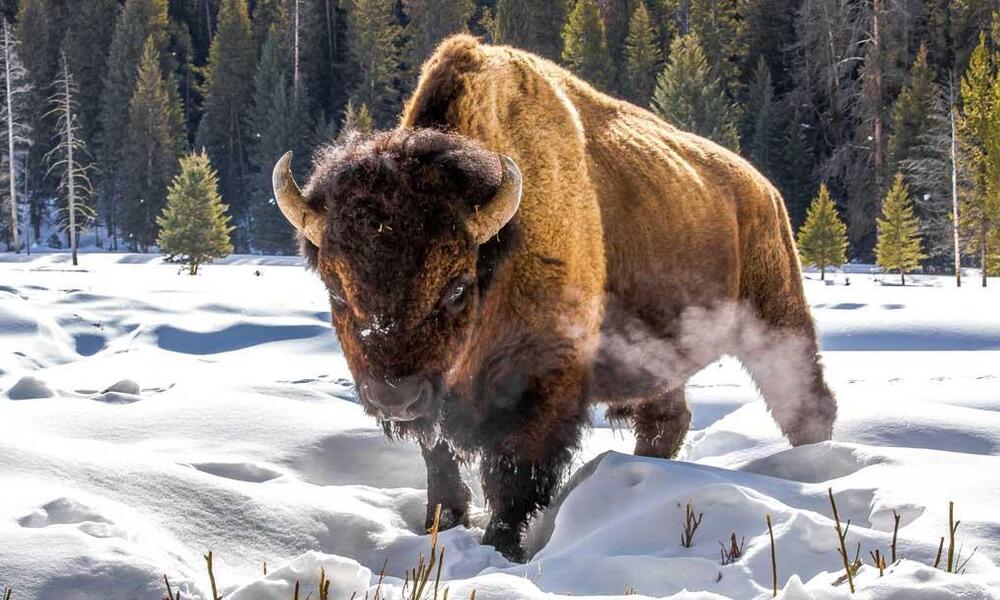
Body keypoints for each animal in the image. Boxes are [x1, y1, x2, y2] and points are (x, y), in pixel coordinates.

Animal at [273, 35, 836, 561]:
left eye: (456, 285)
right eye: (335, 290)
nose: (393, 395)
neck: (500, 253)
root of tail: (764, 191)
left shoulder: (546, 379)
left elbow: (514, 474)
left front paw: (501, 549)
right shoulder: (442, 401)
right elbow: (441, 466)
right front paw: (442, 528)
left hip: (777, 315)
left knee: (805, 403)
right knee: (667, 418)